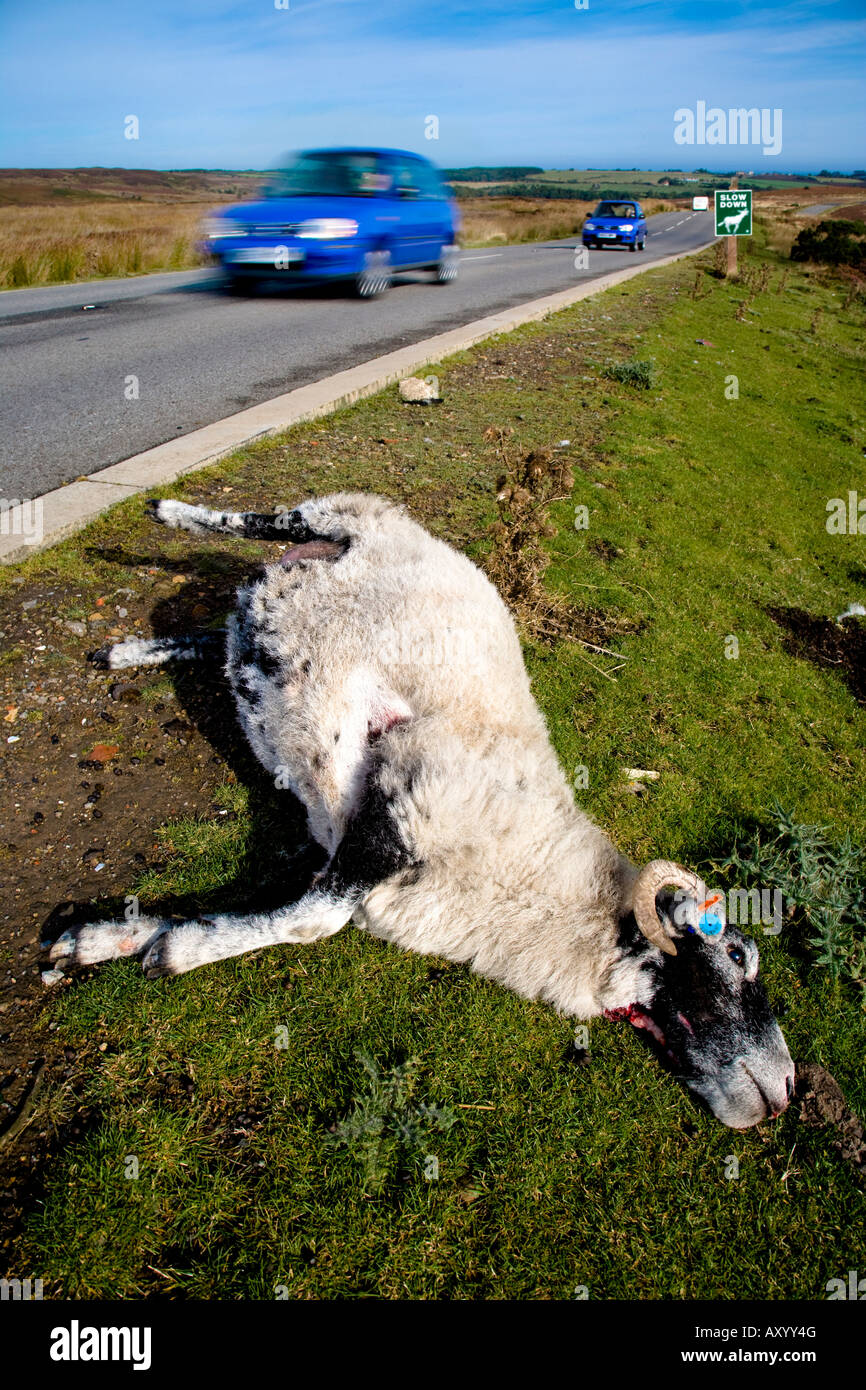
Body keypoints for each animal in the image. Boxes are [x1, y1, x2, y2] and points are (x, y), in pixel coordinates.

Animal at [50, 491, 795, 1129]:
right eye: (736, 952)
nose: (787, 1091)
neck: (533, 884)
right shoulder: (399, 806)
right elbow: (311, 921)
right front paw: (175, 953)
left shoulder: (355, 855)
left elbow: (258, 906)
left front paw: (105, 940)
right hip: (348, 513)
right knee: (260, 523)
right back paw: (169, 511)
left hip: (267, 608)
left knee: (216, 632)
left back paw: (124, 650)